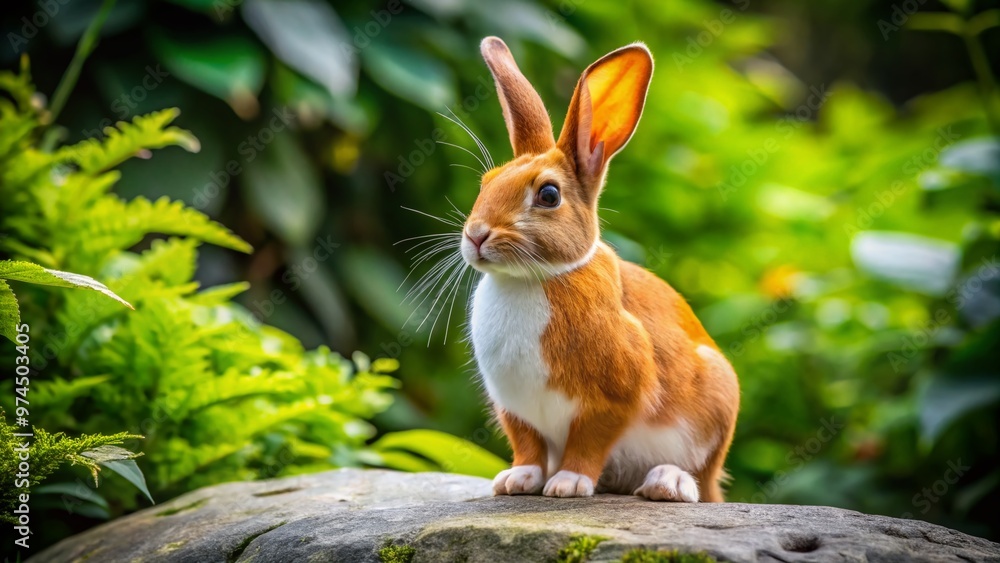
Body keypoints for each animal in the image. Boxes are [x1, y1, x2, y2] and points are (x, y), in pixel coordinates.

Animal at [461, 36, 740, 503]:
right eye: (485, 184)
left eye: (549, 195)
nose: (476, 235)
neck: (537, 277)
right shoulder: (513, 408)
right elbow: (527, 444)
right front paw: (517, 480)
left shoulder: (613, 398)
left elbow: (590, 440)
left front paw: (569, 484)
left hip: (716, 404)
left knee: (700, 480)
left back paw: (667, 484)